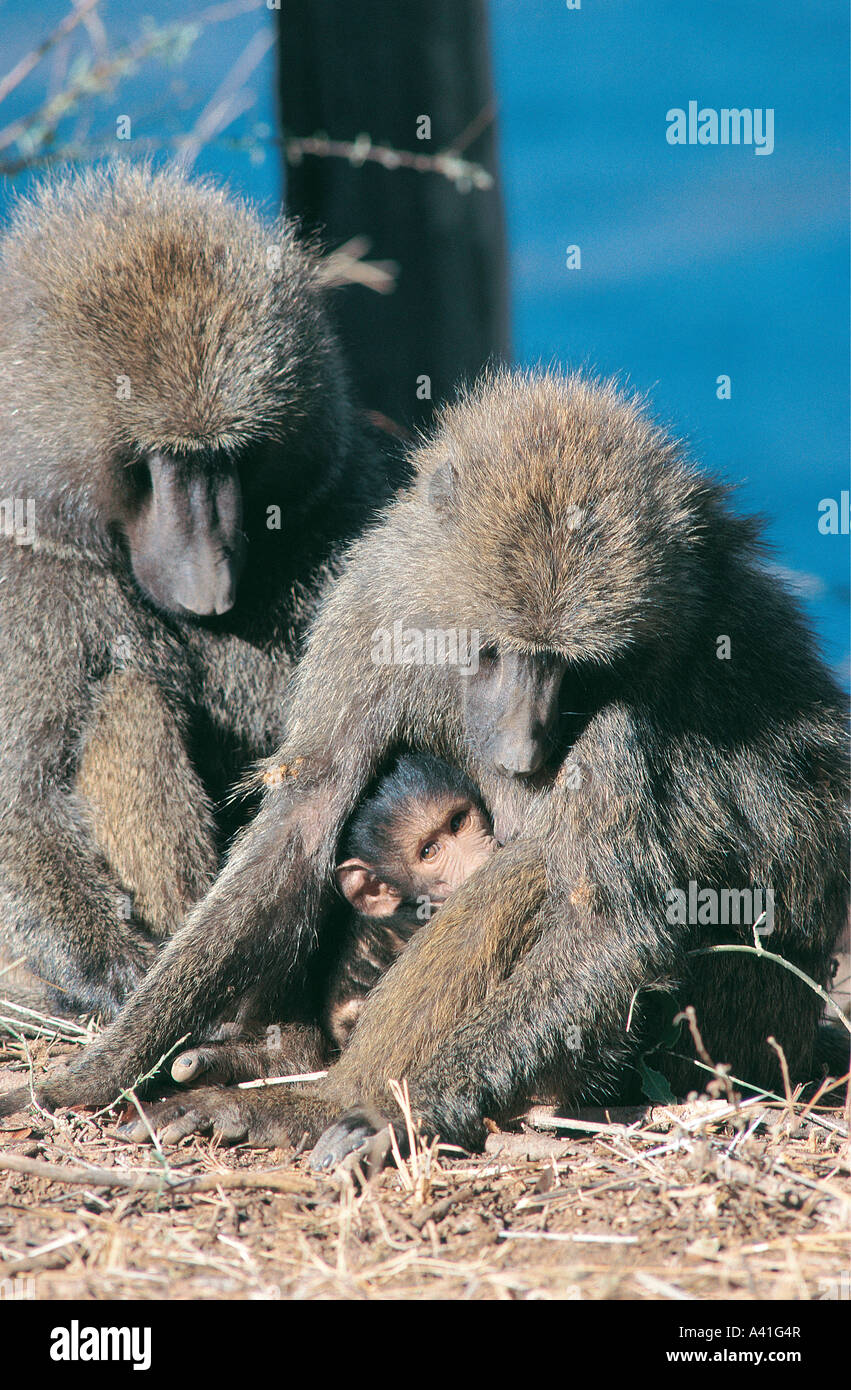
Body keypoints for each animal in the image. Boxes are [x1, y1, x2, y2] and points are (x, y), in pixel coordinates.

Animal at [0, 161, 402, 1021]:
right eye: (158, 461)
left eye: (233, 457)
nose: (208, 579)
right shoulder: (21, 580)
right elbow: (20, 798)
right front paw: (109, 968)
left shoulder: (345, 503)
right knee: (125, 698)